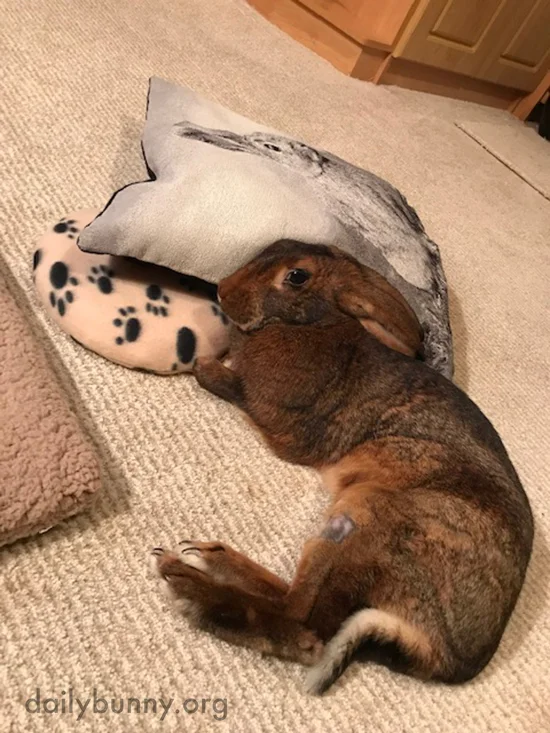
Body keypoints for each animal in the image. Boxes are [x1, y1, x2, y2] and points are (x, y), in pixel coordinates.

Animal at [150, 240, 533, 695]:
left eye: (297, 276)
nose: (223, 290)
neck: (318, 323)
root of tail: (448, 659)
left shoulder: (272, 414)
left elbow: (228, 386)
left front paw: (202, 364)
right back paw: (208, 557)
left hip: (375, 518)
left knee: (303, 623)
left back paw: (188, 583)